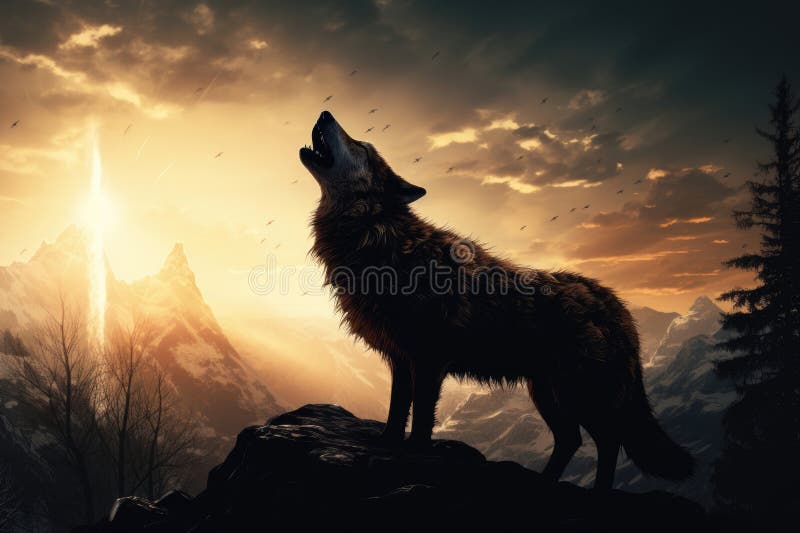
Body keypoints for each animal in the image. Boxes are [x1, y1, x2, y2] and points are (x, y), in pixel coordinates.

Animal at [300, 111, 693, 489]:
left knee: (609, 442)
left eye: (361, 147)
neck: (380, 239)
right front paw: (387, 443)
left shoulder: (428, 360)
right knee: (572, 441)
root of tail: (618, 306)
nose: (326, 112)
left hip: (578, 394)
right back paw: (542, 483)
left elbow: (422, 418)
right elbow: (397, 410)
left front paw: (414, 454)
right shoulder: (400, 357)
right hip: (547, 393)